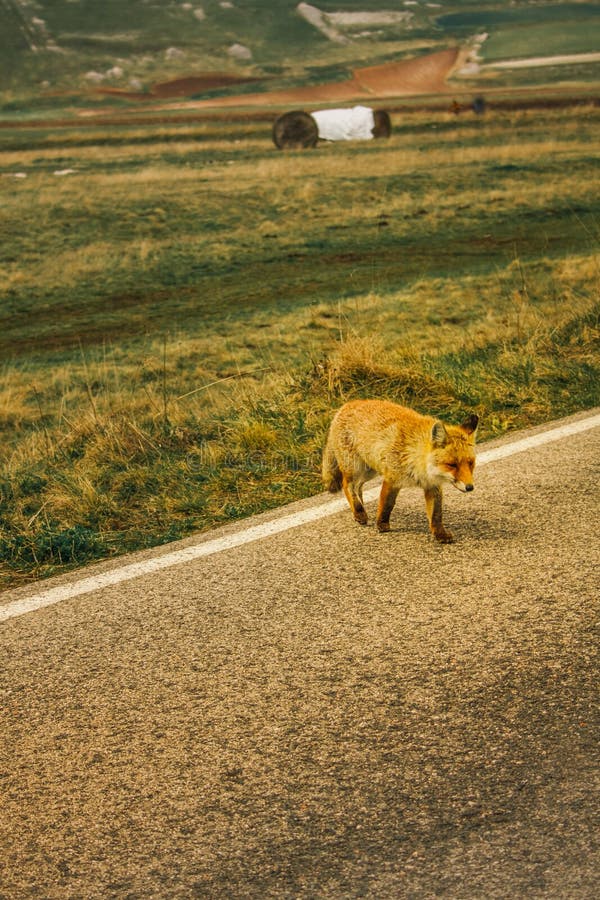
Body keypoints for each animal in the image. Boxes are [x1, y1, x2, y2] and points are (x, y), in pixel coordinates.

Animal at [322, 399, 479, 543]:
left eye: (471, 463)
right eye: (452, 465)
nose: (470, 487)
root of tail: (346, 405)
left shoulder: (432, 486)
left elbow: (436, 514)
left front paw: (440, 534)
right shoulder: (392, 479)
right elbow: (387, 505)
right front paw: (382, 525)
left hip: (369, 471)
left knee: (357, 487)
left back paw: (359, 509)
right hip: (356, 468)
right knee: (347, 485)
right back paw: (359, 512)